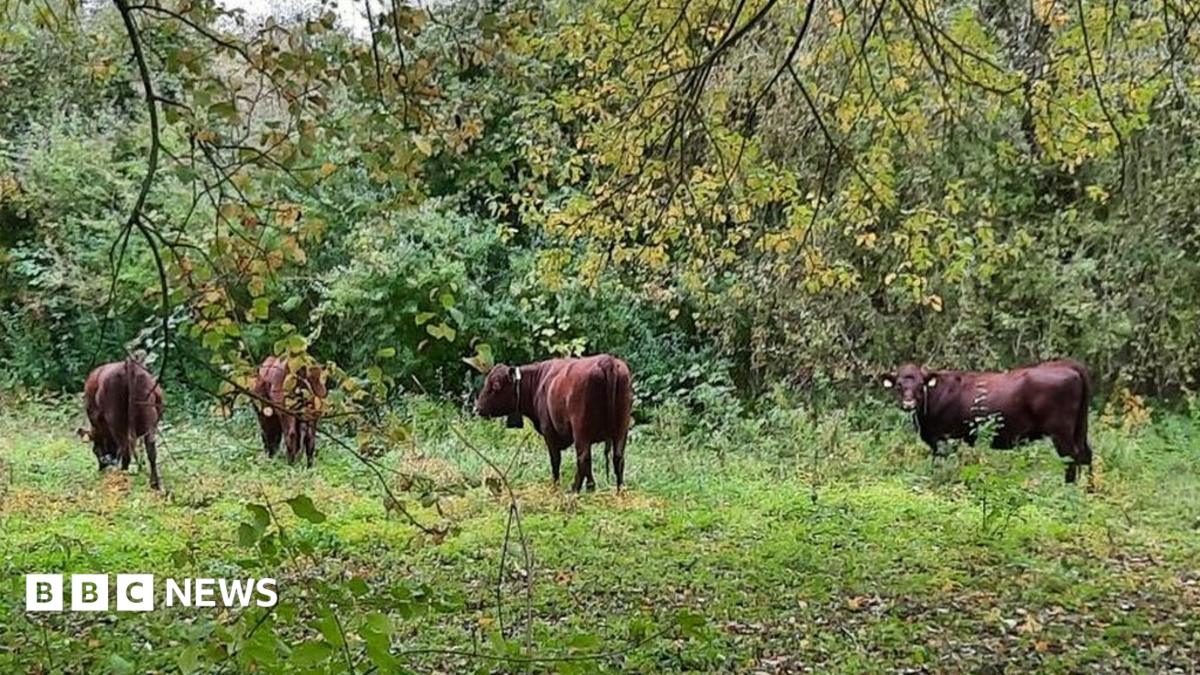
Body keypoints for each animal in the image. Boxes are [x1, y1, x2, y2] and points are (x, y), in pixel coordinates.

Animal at [79, 359, 164, 489]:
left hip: (116, 421)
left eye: (95, 451)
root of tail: (128, 364)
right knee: (151, 450)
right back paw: (154, 484)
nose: (101, 469)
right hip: (150, 420)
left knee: (125, 451)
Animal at [474, 354, 633, 492]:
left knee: (583, 458)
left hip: (581, 430)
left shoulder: (549, 432)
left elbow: (555, 460)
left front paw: (555, 487)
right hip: (621, 428)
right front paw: (591, 487)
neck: (538, 383)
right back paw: (620, 490)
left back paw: (574, 490)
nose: (478, 408)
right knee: (618, 458)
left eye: (495, 385)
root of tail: (606, 360)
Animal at [880, 360, 1093, 483]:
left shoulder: (945, 439)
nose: (908, 403)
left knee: (1071, 459)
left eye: (920, 385)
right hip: (1079, 429)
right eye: (899, 385)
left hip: (1061, 431)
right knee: (1086, 455)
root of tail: (1067, 365)